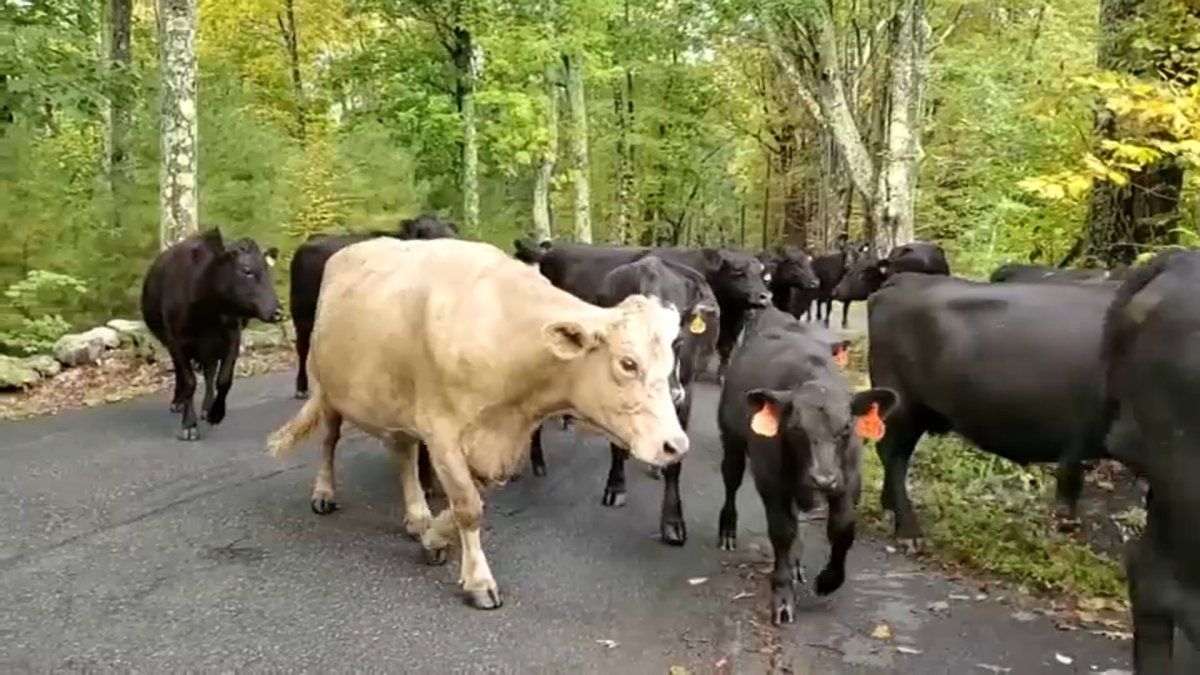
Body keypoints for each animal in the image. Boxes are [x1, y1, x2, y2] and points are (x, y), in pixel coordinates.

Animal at [140, 228, 283, 441]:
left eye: (267, 269)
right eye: (247, 270)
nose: (277, 311)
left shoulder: (232, 336)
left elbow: (223, 379)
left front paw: (215, 413)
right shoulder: (177, 341)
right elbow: (189, 381)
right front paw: (189, 424)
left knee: (209, 372)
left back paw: (207, 407)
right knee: (183, 372)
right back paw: (178, 400)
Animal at [265, 237, 689, 610]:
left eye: (672, 358)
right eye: (628, 363)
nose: (675, 445)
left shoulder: (495, 445)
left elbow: (466, 502)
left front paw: (433, 536)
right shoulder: (442, 432)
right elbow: (468, 506)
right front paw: (478, 581)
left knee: (402, 451)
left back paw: (417, 515)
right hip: (327, 384)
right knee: (329, 440)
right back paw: (324, 492)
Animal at [716, 311, 898, 624]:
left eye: (846, 427)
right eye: (796, 428)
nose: (822, 479)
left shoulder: (849, 480)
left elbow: (842, 528)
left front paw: (828, 580)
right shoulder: (771, 480)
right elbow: (782, 530)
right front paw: (782, 596)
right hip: (732, 439)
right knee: (731, 479)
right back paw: (728, 530)